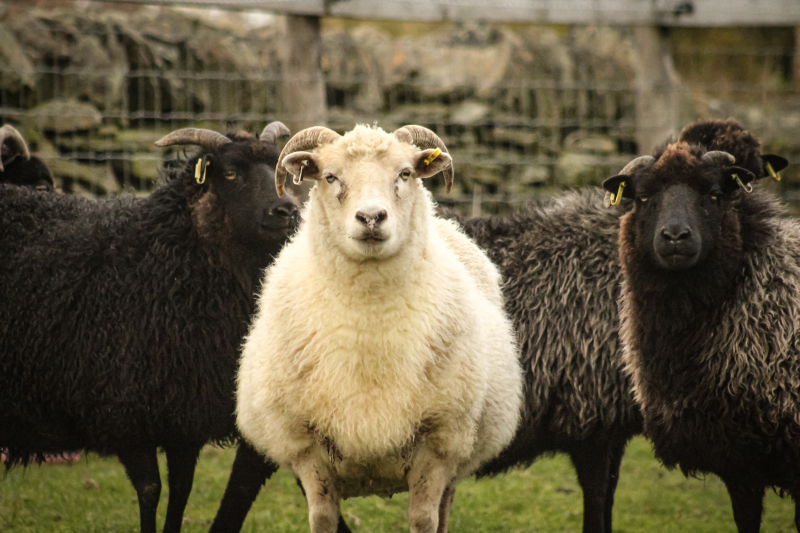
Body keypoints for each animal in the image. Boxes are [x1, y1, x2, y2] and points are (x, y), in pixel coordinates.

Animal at [0, 122, 298, 533]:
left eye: (278, 169)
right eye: (230, 173)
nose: (288, 210)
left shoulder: (186, 412)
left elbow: (181, 489)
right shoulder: (124, 409)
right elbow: (150, 490)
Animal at [235, 124, 523, 533]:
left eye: (405, 173)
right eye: (329, 176)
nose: (371, 217)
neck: (368, 328)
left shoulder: (439, 444)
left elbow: (424, 520)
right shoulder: (305, 445)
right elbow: (322, 517)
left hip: (459, 456)